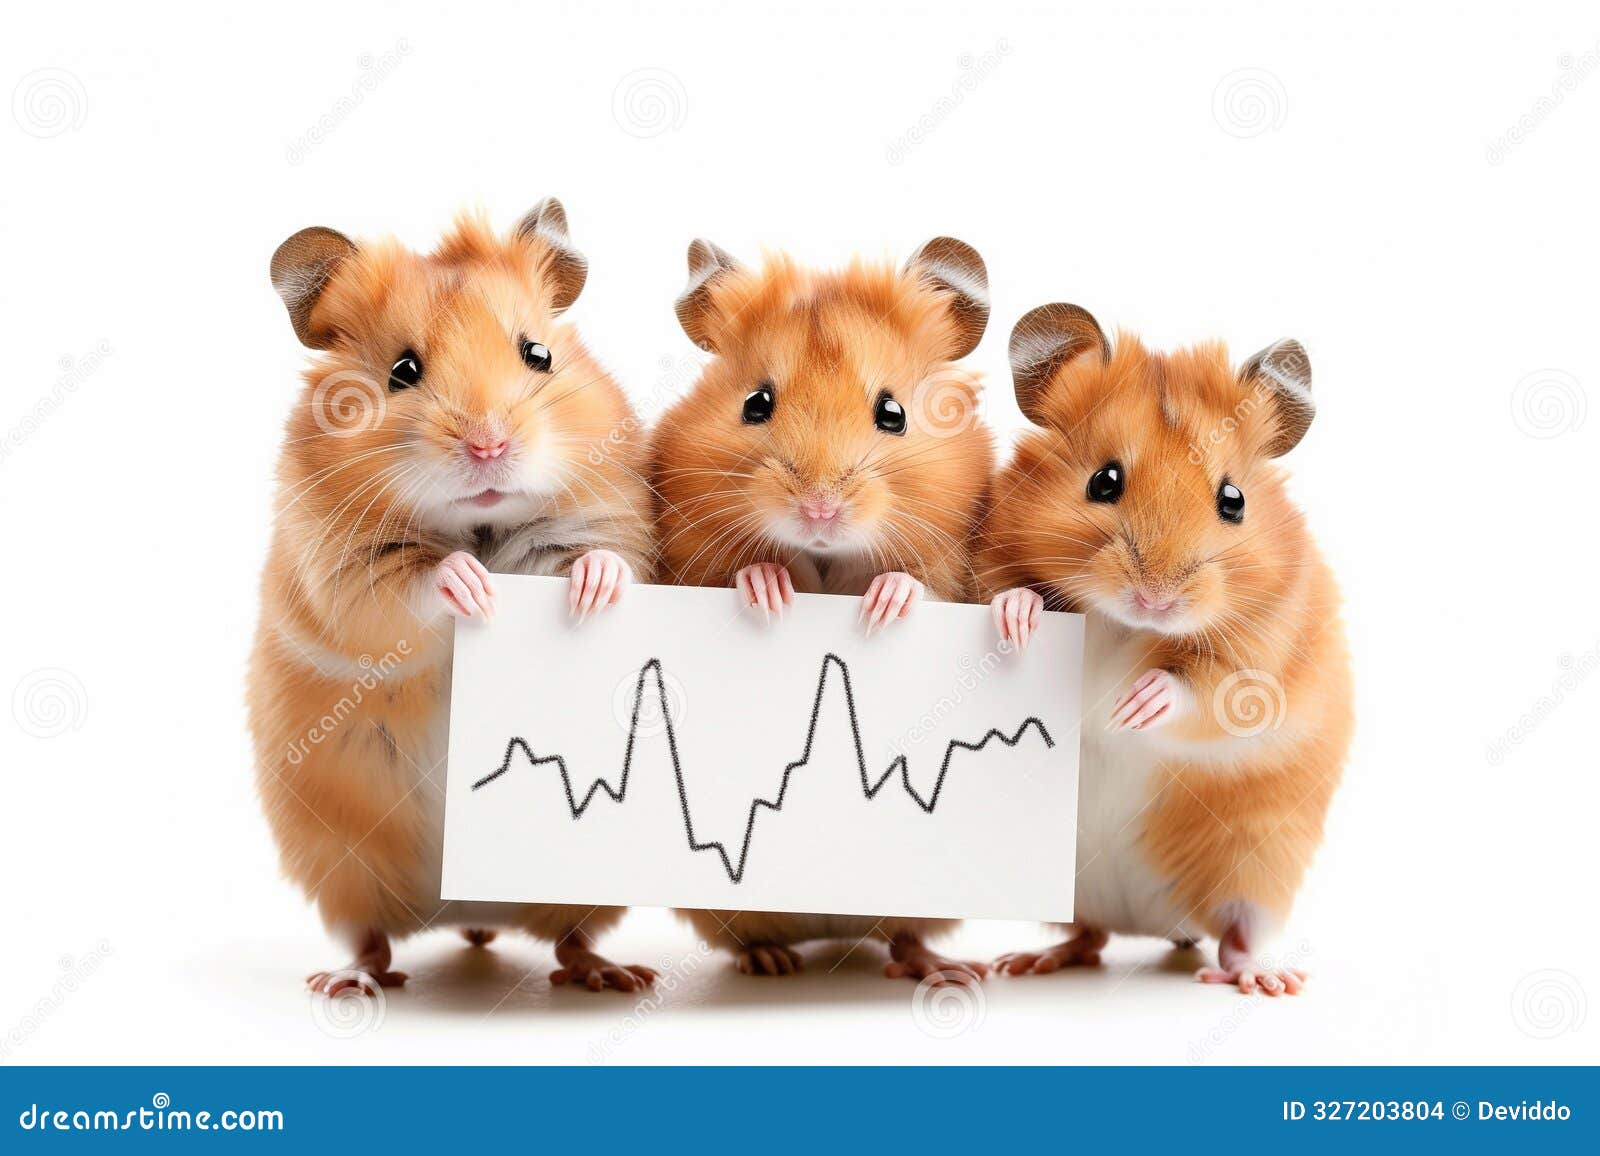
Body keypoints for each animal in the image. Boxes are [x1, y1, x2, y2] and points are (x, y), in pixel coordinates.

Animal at [249, 203, 658, 995]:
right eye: (402, 371)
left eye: (538, 353)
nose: (489, 446)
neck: (479, 523)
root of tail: (472, 908)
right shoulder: (340, 570)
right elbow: (407, 587)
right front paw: (470, 584)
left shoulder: (611, 515)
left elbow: (608, 555)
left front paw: (592, 589)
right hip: (341, 871)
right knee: (371, 940)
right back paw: (344, 981)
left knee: (569, 941)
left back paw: (618, 974)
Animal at [649, 238, 996, 983]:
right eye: (756, 403)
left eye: (892, 413)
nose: (818, 509)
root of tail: (839, 930)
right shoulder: (687, 557)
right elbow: (737, 571)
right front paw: (770, 588)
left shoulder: (952, 559)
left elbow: (921, 583)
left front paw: (883, 604)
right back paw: (771, 962)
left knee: (903, 936)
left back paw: (941, 967)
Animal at [978, 303, 1352, 995]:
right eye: (1104, 481)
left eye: (1233, 500)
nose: (1156, 596)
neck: (1131, 627)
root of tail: (1153, 922)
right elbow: (1007, 590)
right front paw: (1020, 616)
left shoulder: (1262, 658)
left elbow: (1203, 690)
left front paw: (1132, 706)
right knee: (1089, 936)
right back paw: (1028, 960)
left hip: (1258, 861)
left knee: (1233, 936)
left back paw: (1266, 980)